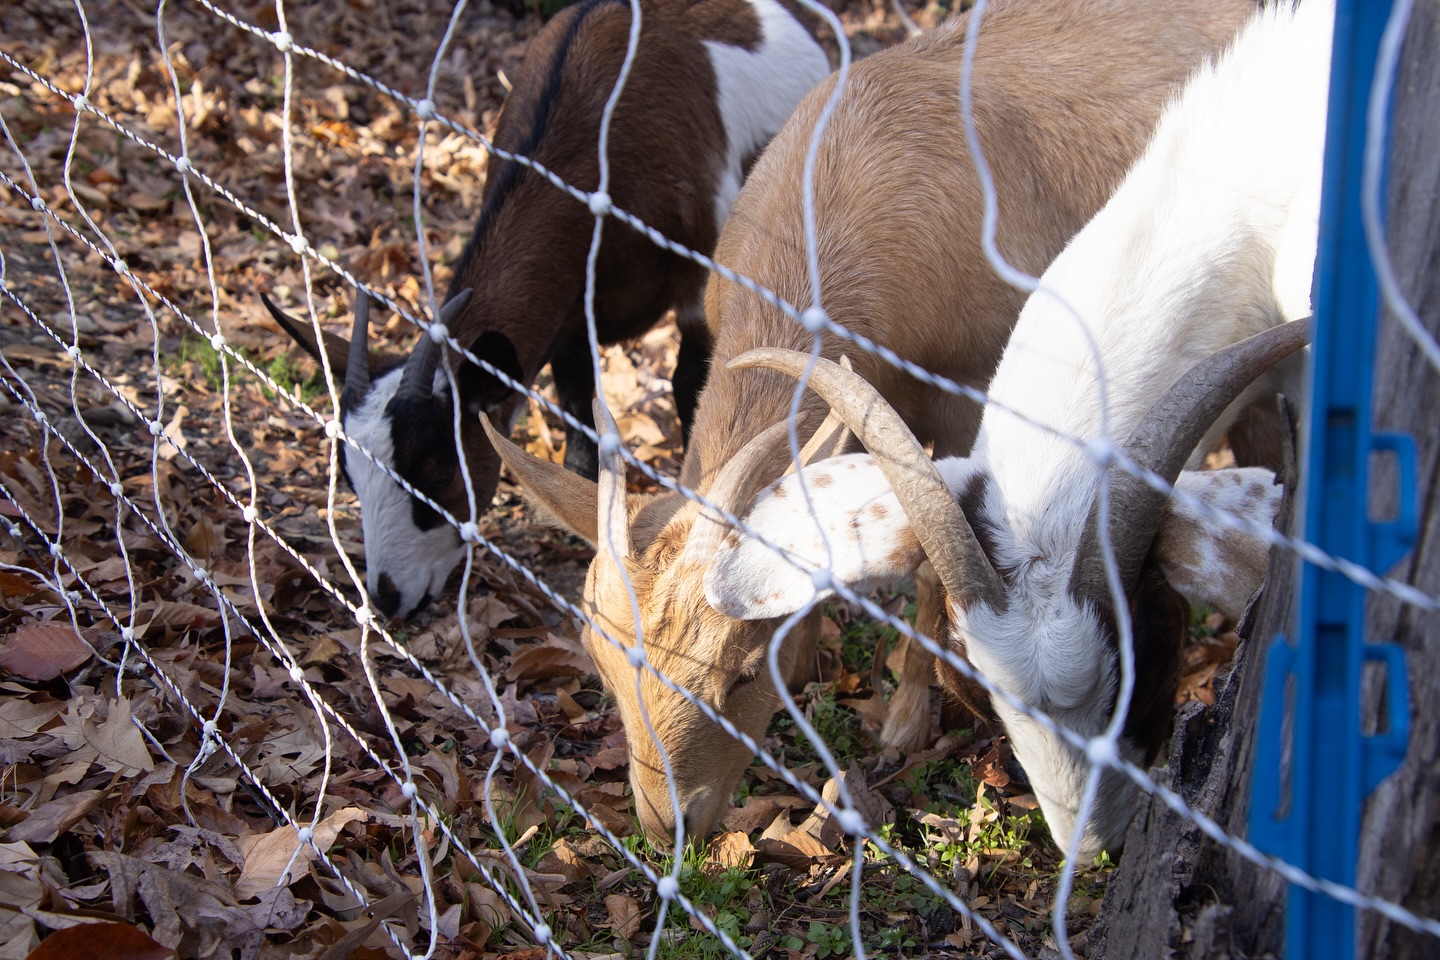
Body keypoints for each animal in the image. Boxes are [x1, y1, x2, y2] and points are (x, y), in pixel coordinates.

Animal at [263, 0, 831, 619]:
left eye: (438, 470)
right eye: (348, 475)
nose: (386, 597)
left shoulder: (700, 280)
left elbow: (692, 388)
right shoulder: (571, 312)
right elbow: (580, 416)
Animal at [484, 0, 1261, 845]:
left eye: (745, 672)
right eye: (600, 661)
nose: (671, 826)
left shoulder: (973, 394)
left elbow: (930, 558)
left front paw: (905, 726)